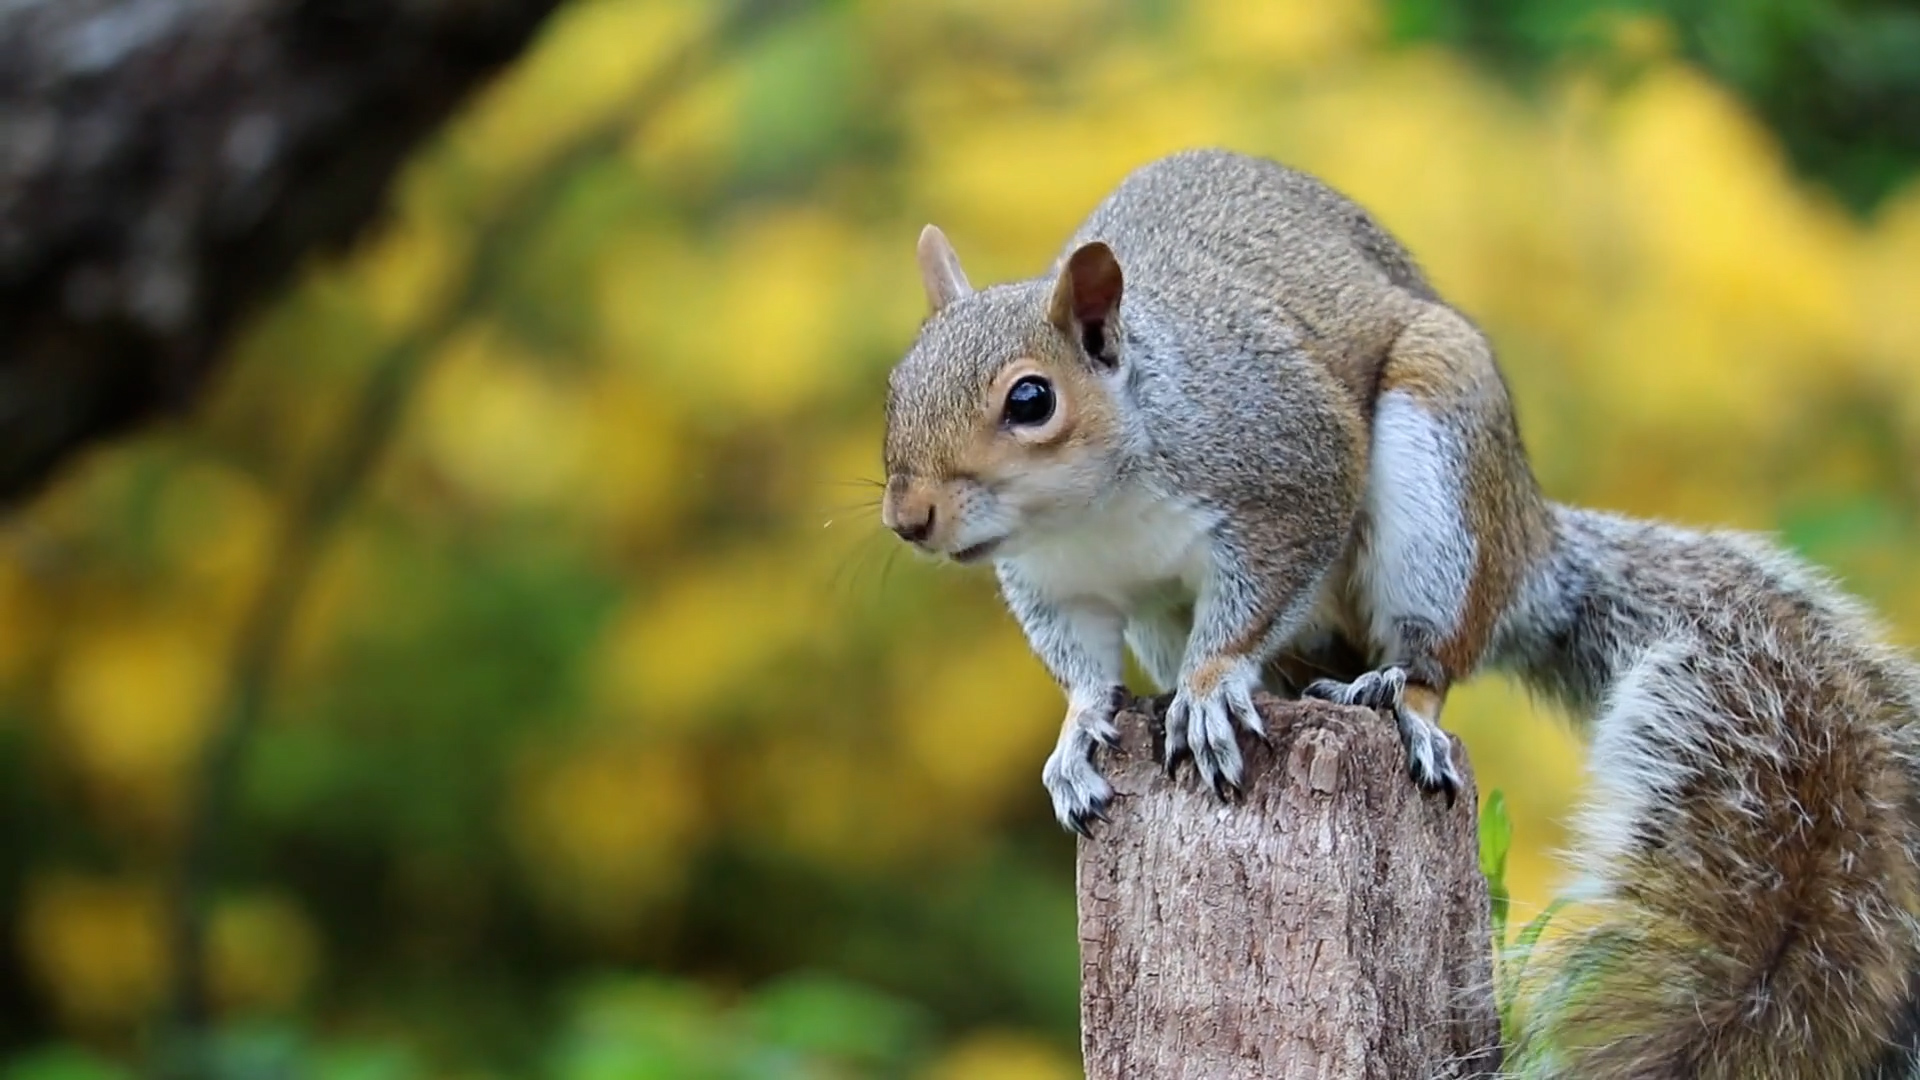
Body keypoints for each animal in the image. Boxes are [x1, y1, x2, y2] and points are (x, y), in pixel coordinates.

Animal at [879, 147, 1920, 1078]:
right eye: (896, 386)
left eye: (1031, 398)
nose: (907, 518)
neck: (1093, 506)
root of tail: (1527, 544)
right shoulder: (1060, 586)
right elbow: (1085, 673)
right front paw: (1079, 731)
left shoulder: (1287, 469)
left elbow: (1258, 594)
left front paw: (1212, 692)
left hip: (1441, 485)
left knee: (1433, 656)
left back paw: (1395, 698)